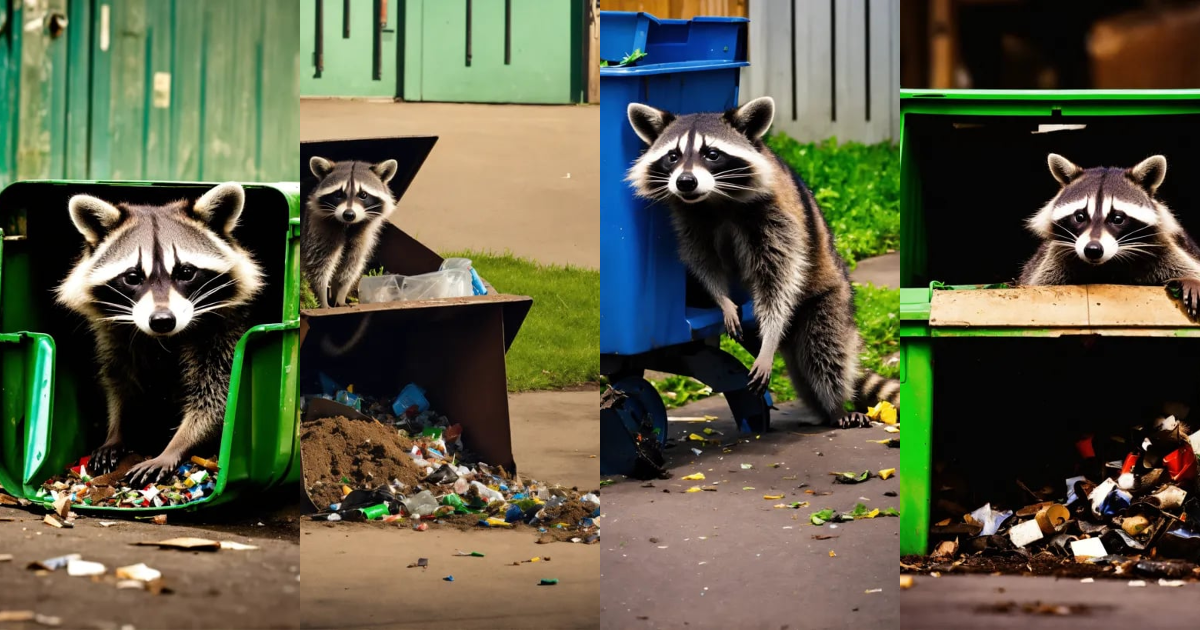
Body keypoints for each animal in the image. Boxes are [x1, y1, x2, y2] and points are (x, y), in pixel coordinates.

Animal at [55, 183, 264, 485]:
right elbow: (119, 381)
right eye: (132, 277)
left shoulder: (226, 331)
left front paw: (176, 445)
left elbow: (215, 398)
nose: (163, 321)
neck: (162, 340)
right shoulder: (114, 334)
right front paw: (117, 429)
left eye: (186, 272)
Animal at [302, 157, 398, 308]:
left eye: (363, 195)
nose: (349, 214)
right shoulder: (316, 228)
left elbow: (351, 266)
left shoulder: (363, 235)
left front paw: (341, 295)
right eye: (338, 194)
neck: (349, 225)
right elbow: (318, 265)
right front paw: (322, 298)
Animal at [625, 96, 899, 427]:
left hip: (829, 299)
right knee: (807, 372)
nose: (685, 182)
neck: (714, 198)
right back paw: (822, 409)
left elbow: (779, 281)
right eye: (673, 156)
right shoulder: (691, 219)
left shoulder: (776, 218)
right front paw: (722, 299)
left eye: (712, 154)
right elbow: (702, 261)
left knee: (824, 353)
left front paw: (769, 339)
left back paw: (834, 407)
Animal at [1020, 154, 1200, 319]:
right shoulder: (1055, 259)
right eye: (1080, 217)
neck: (1107, 265)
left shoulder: (1162, 250)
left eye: (1117, 218)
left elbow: (1188, 268)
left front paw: (1189, 280)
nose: (1092, 249)